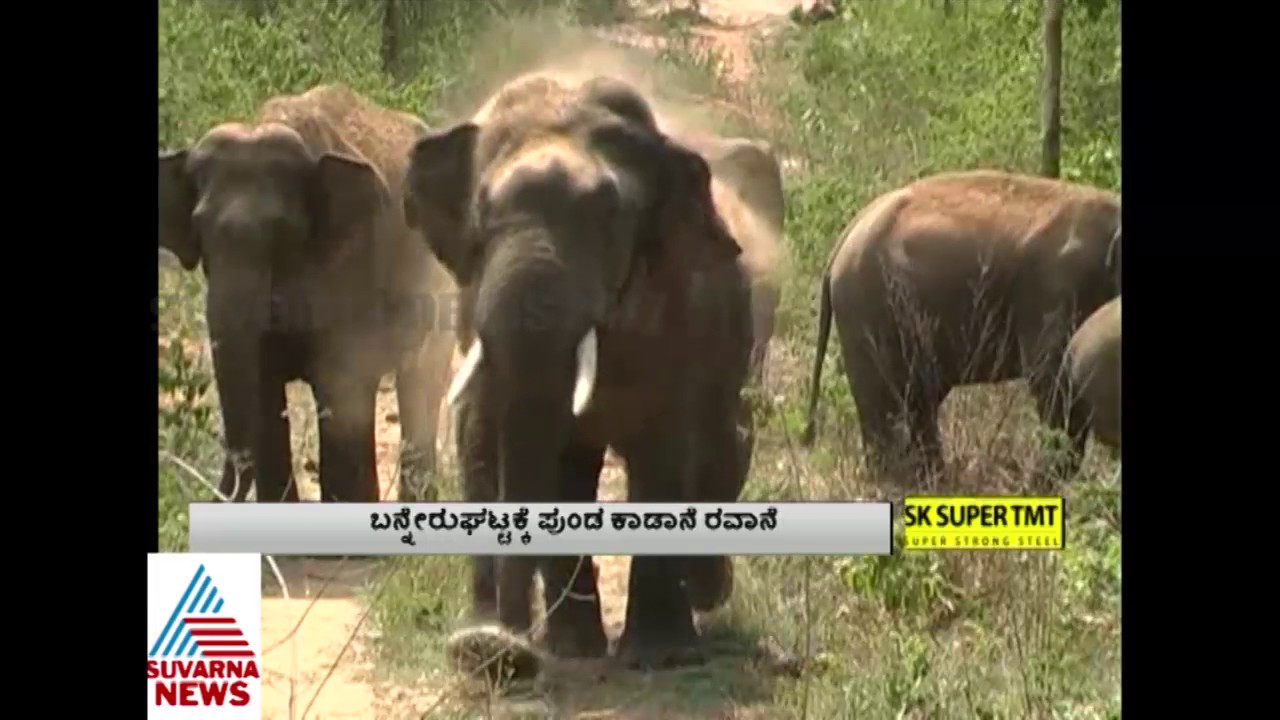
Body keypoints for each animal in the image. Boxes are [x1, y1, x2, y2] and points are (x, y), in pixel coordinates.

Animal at [158, 84, 457, 505]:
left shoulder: (347, 264)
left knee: (419, 382)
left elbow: (337, 389)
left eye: (283, 233)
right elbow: (264, 397)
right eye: (199, 232)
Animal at [402, 72, 764, 670]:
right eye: (480, 214)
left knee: (715, 447)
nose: (507, 649)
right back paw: (575, 647)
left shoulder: (681, 316)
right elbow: (484, 436)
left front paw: (660, 657)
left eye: (610, 215)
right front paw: (493, 647)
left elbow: (665, 450)